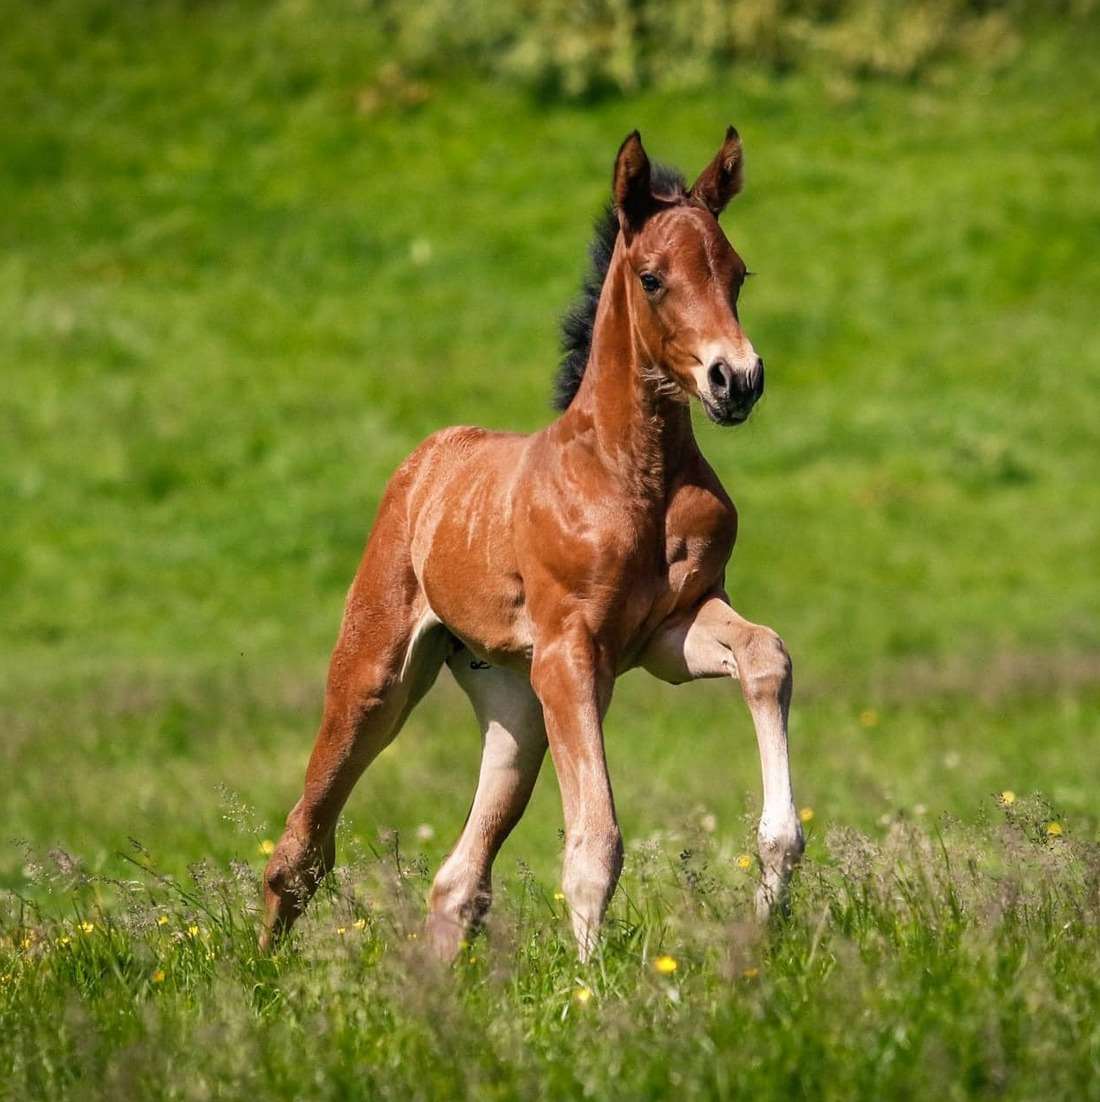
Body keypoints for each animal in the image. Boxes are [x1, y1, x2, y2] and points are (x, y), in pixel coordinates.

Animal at [261, 127, 804, 960]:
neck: (630, 473)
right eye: (652, 278)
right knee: (302, 845)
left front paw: (773, 884)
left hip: (514, 706)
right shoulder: (572, 652)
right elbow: (594, 841)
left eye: (737, 273)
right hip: (378, 672)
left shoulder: (669, 633)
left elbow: (766, 655)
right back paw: (259, 973)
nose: (735, 379)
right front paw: (592, 982)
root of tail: (430, 458)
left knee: (458, 879)